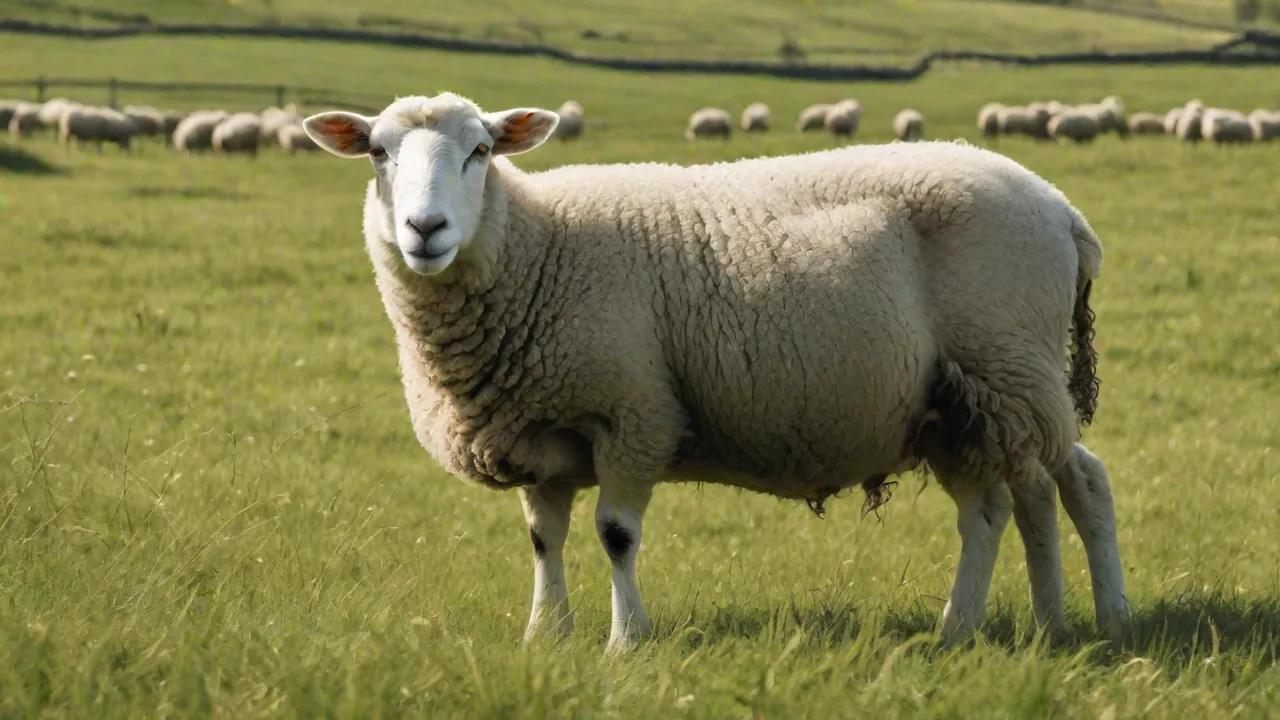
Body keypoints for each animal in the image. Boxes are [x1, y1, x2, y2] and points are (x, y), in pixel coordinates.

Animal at [302, 92, 1131, 654]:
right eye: (377, 153)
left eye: (480, 151)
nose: (425, 229)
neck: (537, 247)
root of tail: (1063, 211)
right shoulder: (541, 430)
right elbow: (544, 538)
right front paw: (548, 635)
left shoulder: (633, 412)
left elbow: (614, 534)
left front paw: (624, 641)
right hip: (960, 403)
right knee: (1003, 506)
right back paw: (1004, 627)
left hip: (1007, 367)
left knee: (1076, 482)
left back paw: (1100, 620)